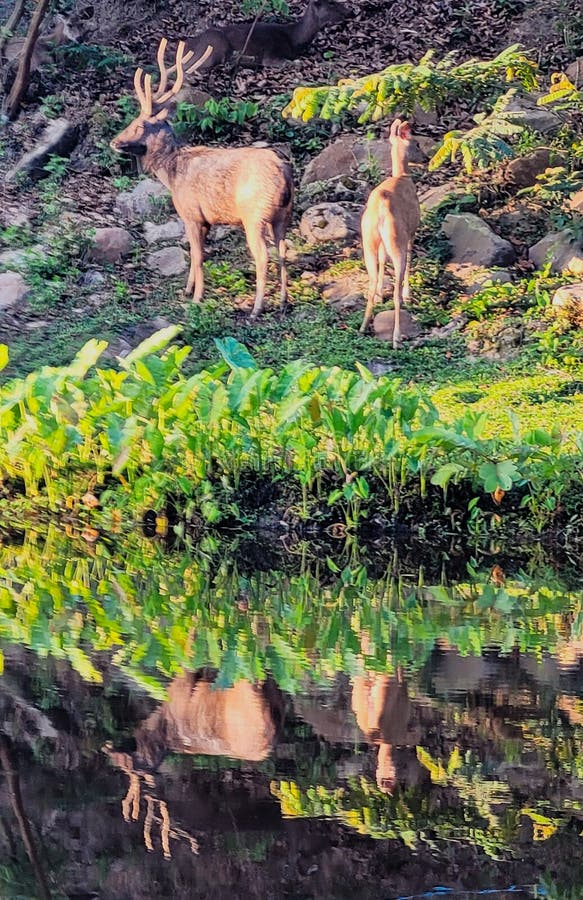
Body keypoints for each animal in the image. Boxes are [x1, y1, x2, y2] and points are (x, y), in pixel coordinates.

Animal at [110, 38, 293, 319]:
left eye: (139, 125)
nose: (115, 142)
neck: (172, 174)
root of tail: (282, 173)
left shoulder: (191, 214)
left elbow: (197, 256)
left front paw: (196, 299)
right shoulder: (205, 220)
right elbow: (196, 254)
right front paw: (188, 290)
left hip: (254, 214)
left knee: (263, 256)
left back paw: (256, 308)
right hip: (283, 214)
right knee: (284, 251)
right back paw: (283, 301)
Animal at [181, 0, 350, 71]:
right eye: (332, 3)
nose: (351, 11)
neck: (294, 39)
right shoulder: (271, 53)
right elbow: (292, 62)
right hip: (215, 43)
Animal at [360, 119, 421, 348]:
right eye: (417, 143)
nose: (426, 157)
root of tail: (380, 211)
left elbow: (381, 262)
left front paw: (379, 296)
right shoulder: (412, 230)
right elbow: (412, 258)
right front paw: (408, 294)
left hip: (368, 240)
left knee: (370, 280)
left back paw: (363, 326)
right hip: (396, 240)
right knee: (396, 286)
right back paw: (396, 338)